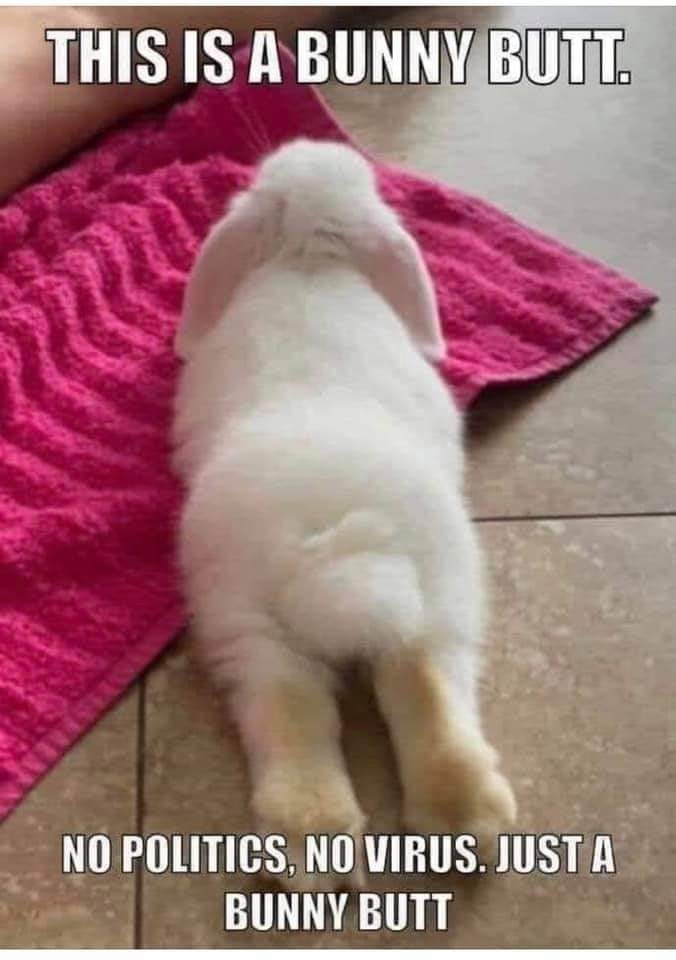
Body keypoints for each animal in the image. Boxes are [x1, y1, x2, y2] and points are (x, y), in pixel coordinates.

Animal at [172, 138, 516, 891]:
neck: (311, 259)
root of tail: (338, 544)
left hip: (250, 617)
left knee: (296, 709)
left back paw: (317, 841)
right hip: (428, 590)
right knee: (416, 680)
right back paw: (458, 816)